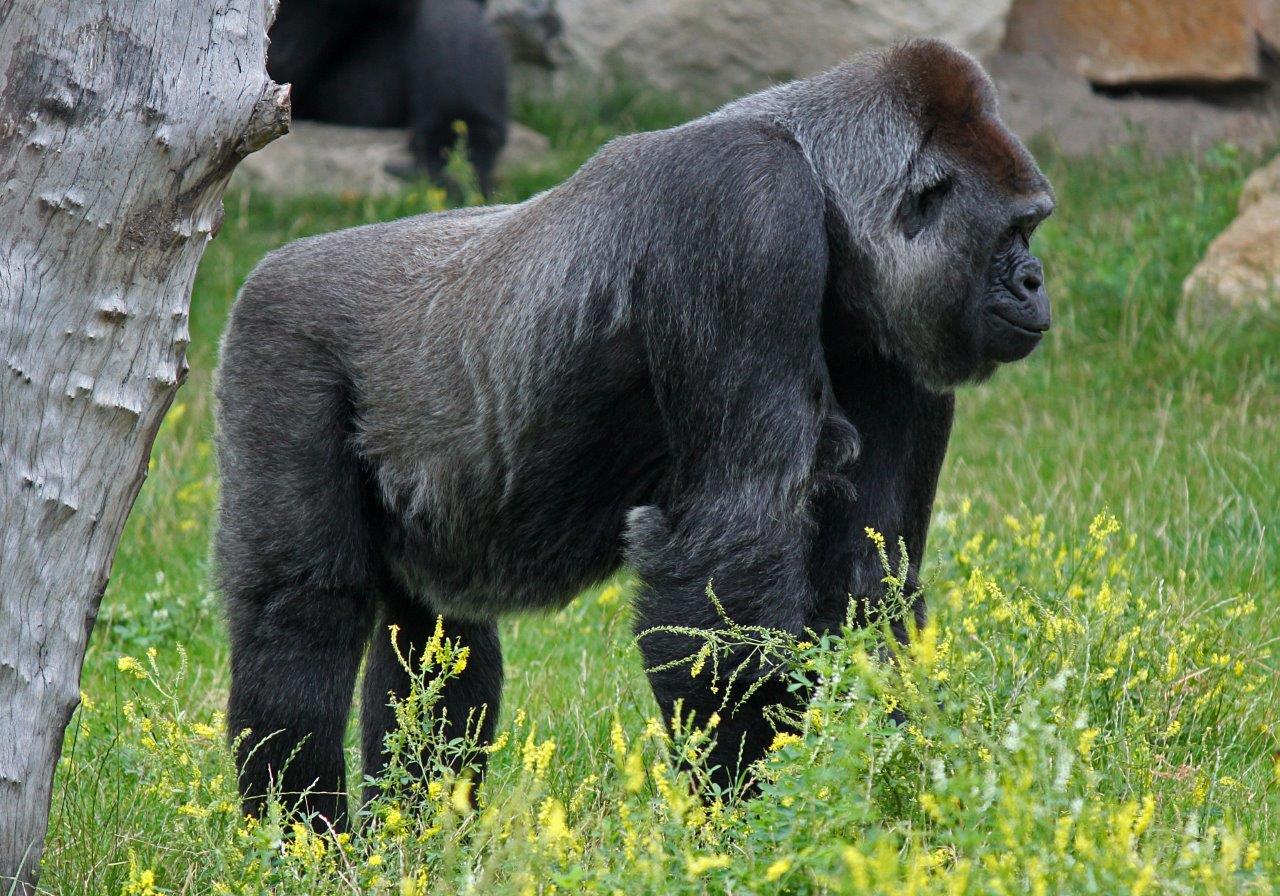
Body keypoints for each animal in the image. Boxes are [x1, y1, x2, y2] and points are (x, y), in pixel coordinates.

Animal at [214, 39, 1053, 828]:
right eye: (1016, 230)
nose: (1036, 282)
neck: (825, 186)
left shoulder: (901, 334)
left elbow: (866, 587)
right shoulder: (742, 207)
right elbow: (724, 568)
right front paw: (746, 821)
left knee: (436, 638)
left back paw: (417, 841)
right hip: (273, 336)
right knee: (301, 614)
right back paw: (305, 843)